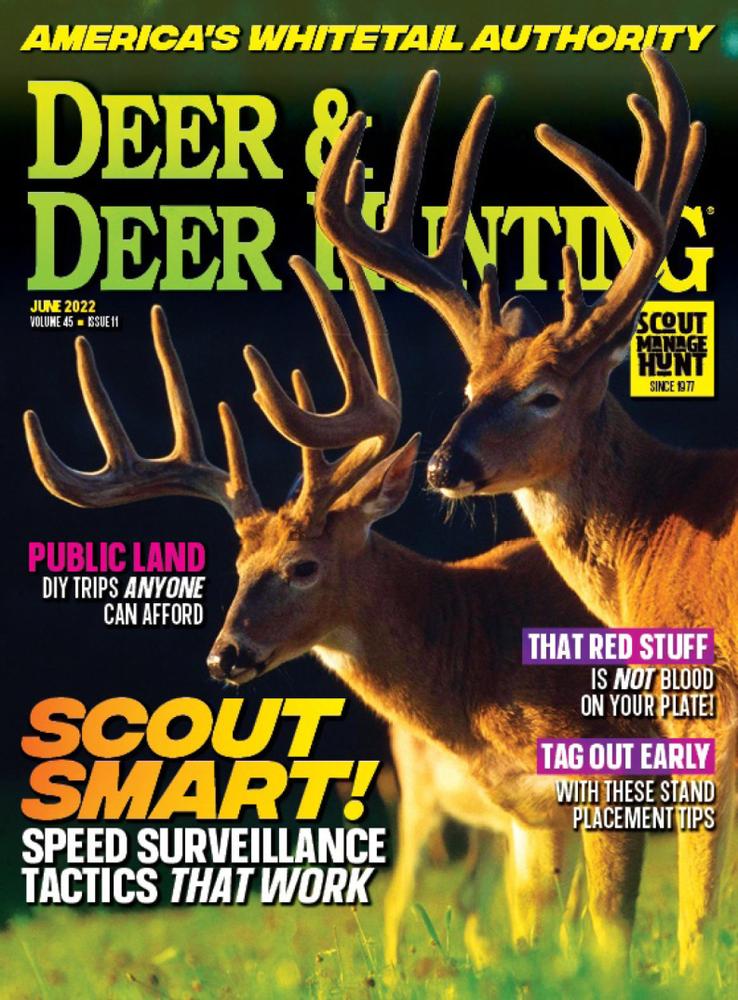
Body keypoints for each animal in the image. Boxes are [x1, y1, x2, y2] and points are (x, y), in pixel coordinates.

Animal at [313, 47, 736, 976]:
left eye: (545, 393)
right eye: (471, 385)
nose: (443, 464)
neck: (659, 531)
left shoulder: (695, 710)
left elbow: (684, 908)